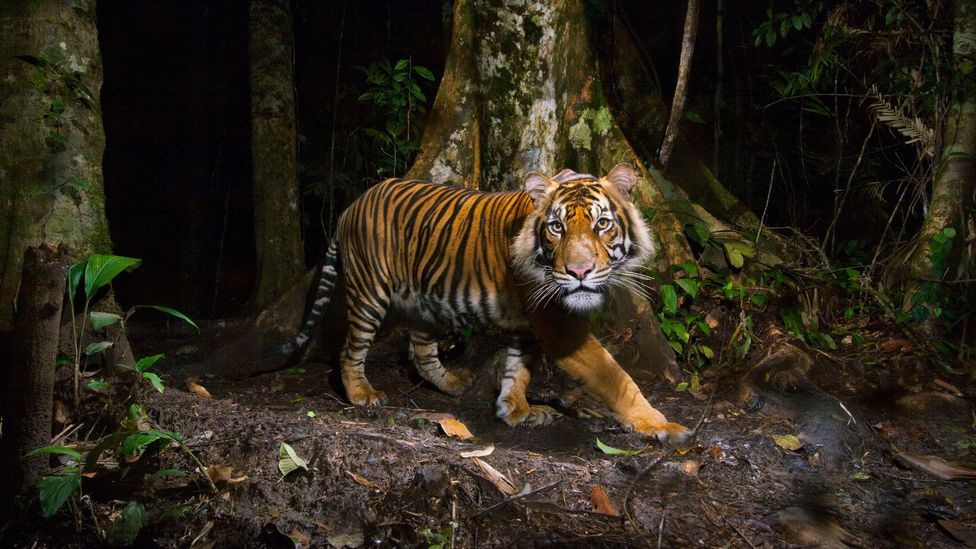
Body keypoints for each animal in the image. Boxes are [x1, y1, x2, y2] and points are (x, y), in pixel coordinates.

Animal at [282, 163, 691, 444]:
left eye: (602, 224)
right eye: (556, 227)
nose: (579, 271)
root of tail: (351, 206)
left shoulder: (530, 325)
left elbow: (518, 370)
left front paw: (516, 411)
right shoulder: (557, 325)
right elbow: (617, 378)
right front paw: (661, 425)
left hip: (426, 301)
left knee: (420, 349)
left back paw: (453, 384)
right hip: (370, 292)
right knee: (350, 349)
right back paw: (361, 394)